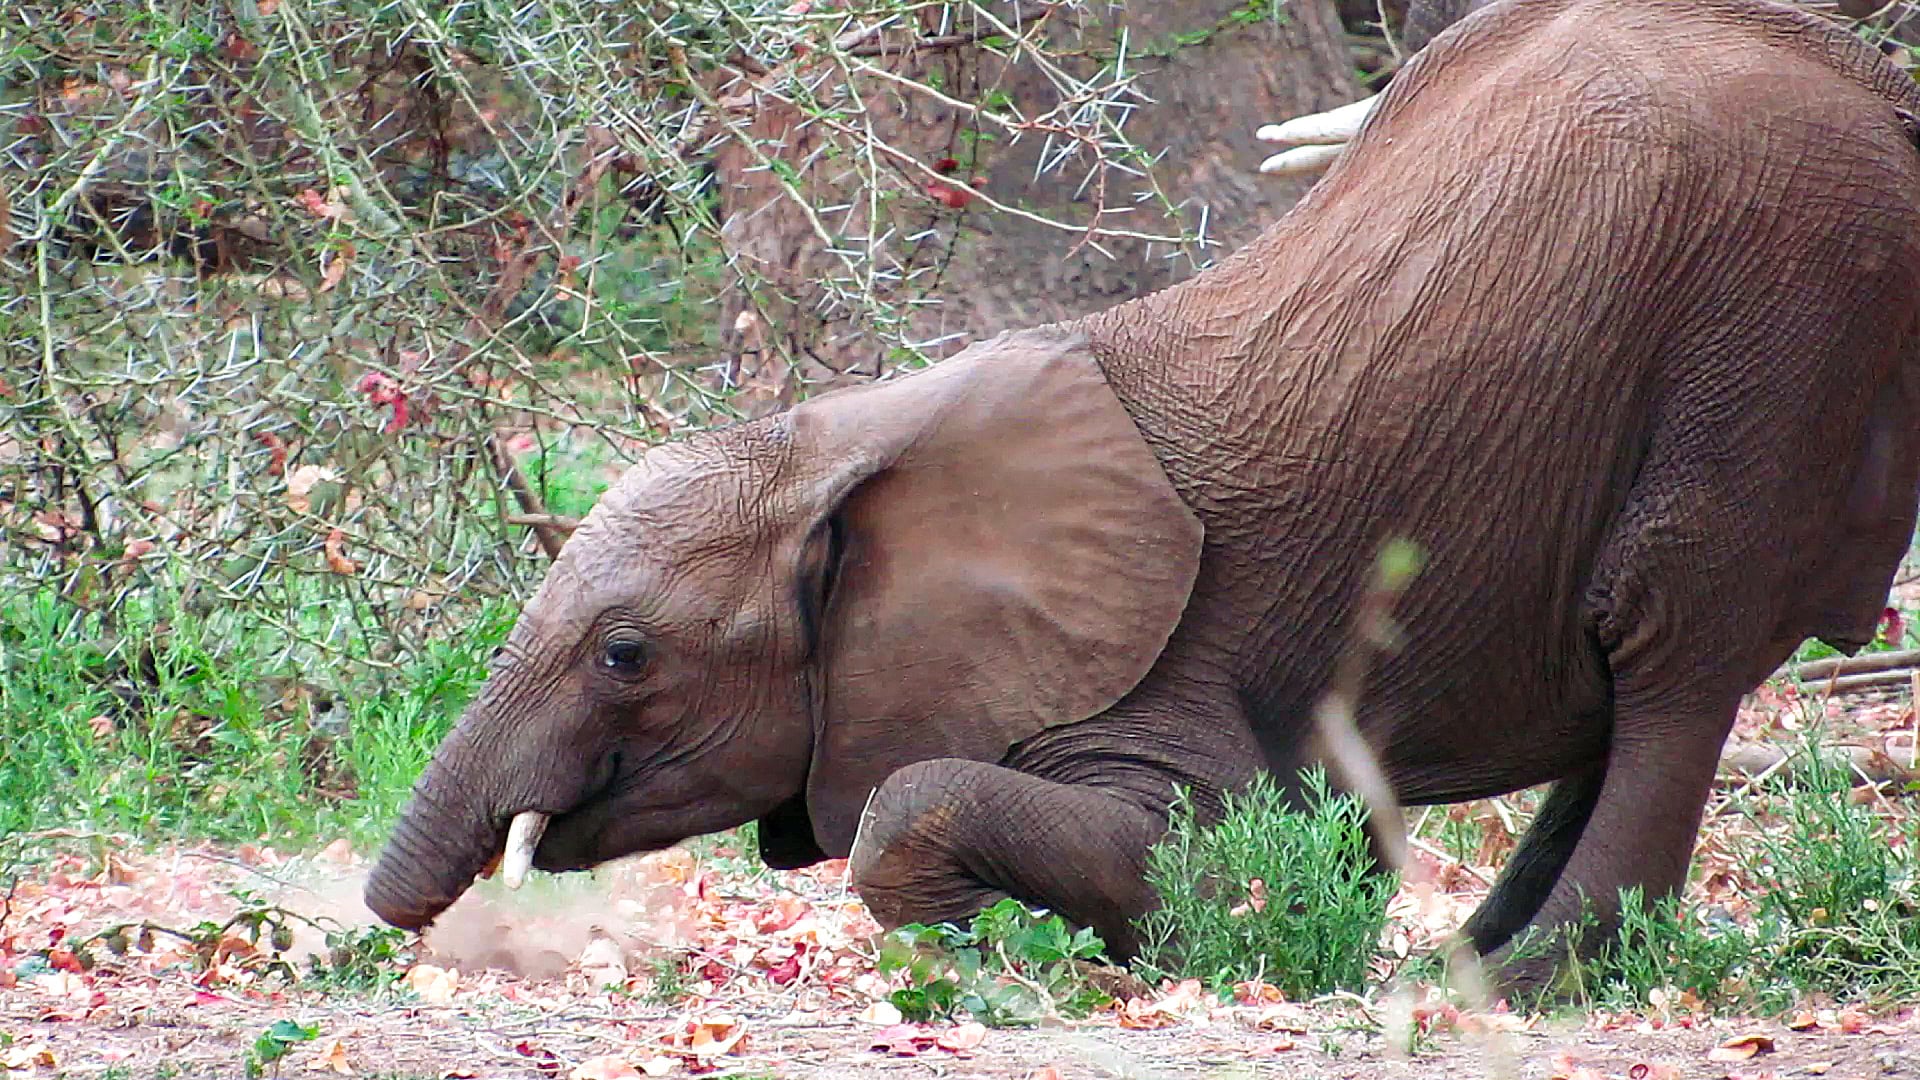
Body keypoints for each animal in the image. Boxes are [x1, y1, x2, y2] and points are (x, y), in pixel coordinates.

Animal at [365, 0, 1920, 995]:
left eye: (627, 657)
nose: (381, 923)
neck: (843, 440)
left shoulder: (1164, 661)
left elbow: (1168, 840)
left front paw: (1068, 953)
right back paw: (1472, 960)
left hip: (1775, 324)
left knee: (1667, 642)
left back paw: (1494, 992)